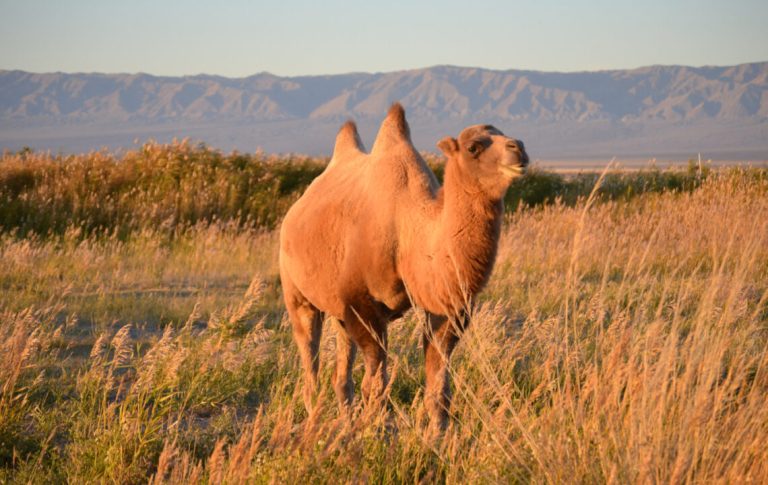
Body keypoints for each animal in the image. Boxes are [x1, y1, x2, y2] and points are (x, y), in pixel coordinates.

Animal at [279, 103, 529, 428]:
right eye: (474, 147)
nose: (519, 147)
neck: (409, 231)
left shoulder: (445, 306)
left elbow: (438, 384)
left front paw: (439, 433)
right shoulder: (361, 303)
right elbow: (376, 382)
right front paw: (376, 430)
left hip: (338, 311)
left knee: (341, 371)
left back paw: (345, 422)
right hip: (297, 294)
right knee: (310, 361)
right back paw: (316, 421)